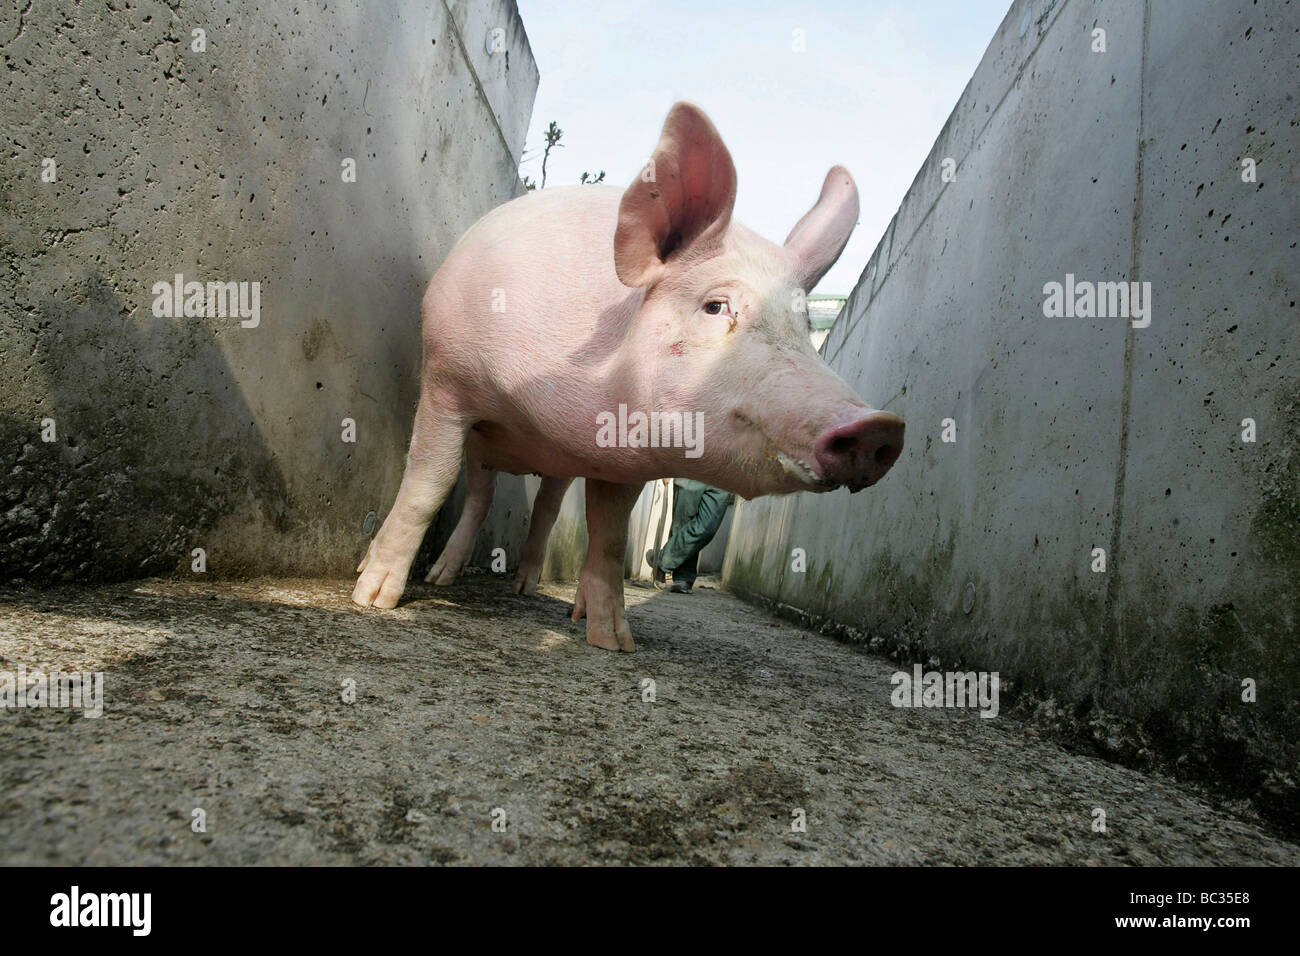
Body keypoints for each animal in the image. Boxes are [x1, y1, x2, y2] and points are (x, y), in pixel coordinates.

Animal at [353, 102, 904, 652]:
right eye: (716, 306)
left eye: (804, 324)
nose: (881, 426)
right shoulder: (447, 381)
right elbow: (428, 485)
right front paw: (372, 599)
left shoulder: (620, 464)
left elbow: (610, 540)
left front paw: (615, 644)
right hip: (483, 441)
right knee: (480, 496)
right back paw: (442, 578)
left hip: (555, 467)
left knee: (547, 510)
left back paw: (533, 592)